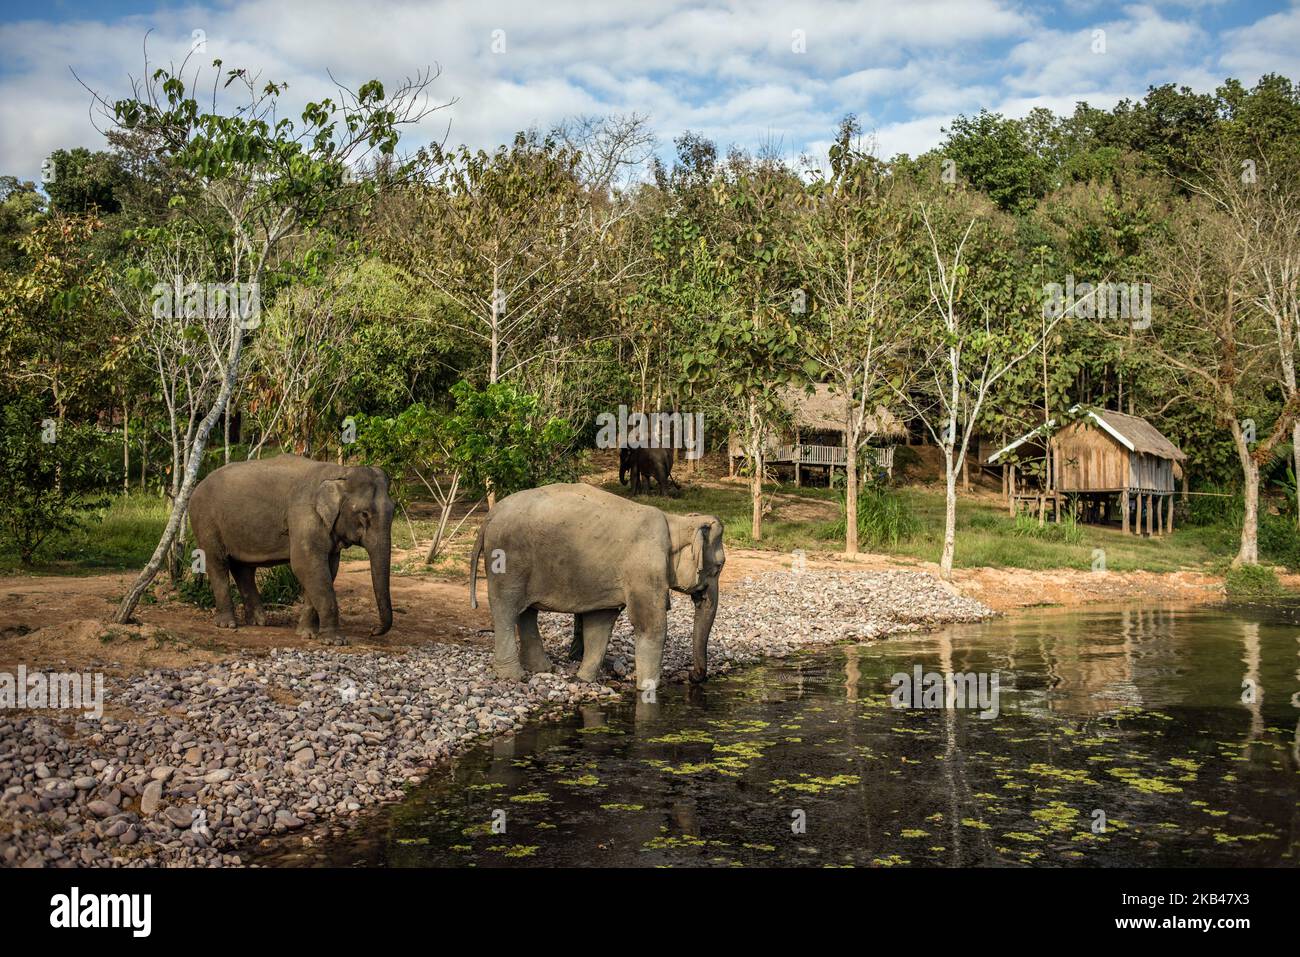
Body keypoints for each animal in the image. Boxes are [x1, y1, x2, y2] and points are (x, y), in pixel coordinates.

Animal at [188, 454, 394, 645]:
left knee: (243, 568)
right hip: (205, 520)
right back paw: (227, 624)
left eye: (393, 512)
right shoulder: (304, 515)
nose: (373, 630)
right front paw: (335, 641)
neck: (339, 472)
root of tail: (199, 484)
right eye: (364, 514)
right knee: (217, 563)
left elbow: (327, 568)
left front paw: (307, 634)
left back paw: (258, 622)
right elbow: (306, 566)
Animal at [469, 483, 724, 689]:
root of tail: (490, 515)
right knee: (506, 609)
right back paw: (513, 676)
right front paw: (647, 690)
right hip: (507, 560)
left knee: (526, 612)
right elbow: (651, 626)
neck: (676, 521)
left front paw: (582, 679)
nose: (693, 677)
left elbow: (600, 623)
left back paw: (542, 670)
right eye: (719, 566)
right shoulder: (644, 569)